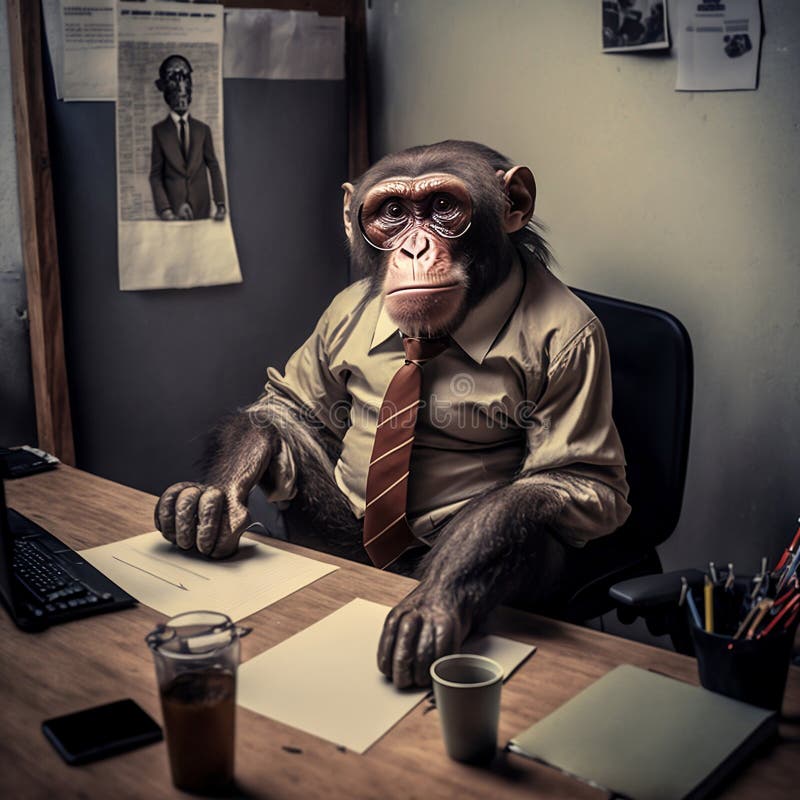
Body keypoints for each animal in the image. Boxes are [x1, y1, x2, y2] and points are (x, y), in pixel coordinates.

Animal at [155, 140, 631, 689]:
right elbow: (287, 406)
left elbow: (572, 477)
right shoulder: (334, 313)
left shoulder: (580, 343)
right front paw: (210, 498)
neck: (439, 337)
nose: (415, 249)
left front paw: (432, 604)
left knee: (530, 513)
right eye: (394, 213)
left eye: (444, 207)